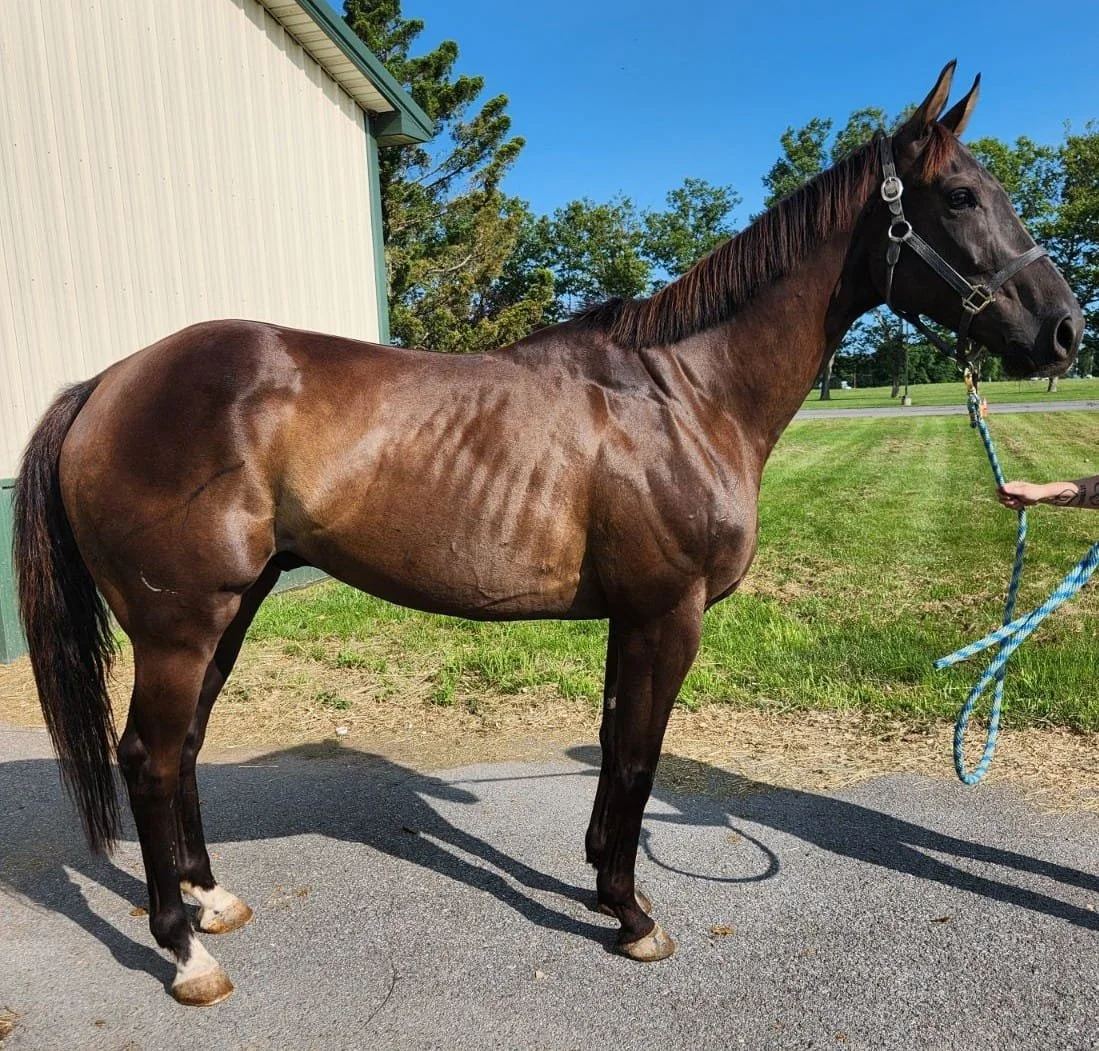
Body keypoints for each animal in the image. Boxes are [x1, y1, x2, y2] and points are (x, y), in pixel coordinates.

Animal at [12, 63, 1082, 1005]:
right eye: (958, 196)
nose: (1066, 331)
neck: (686, 396)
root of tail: (108, 379)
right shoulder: (666, 613)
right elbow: (640, 755)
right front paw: (632, 914)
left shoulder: (631, 617)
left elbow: (615, 746)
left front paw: (605, 888)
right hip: (180, 624)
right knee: (149, 755)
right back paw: (185, 950)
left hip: (229, 609)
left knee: (183, 746)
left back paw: (210, 897)